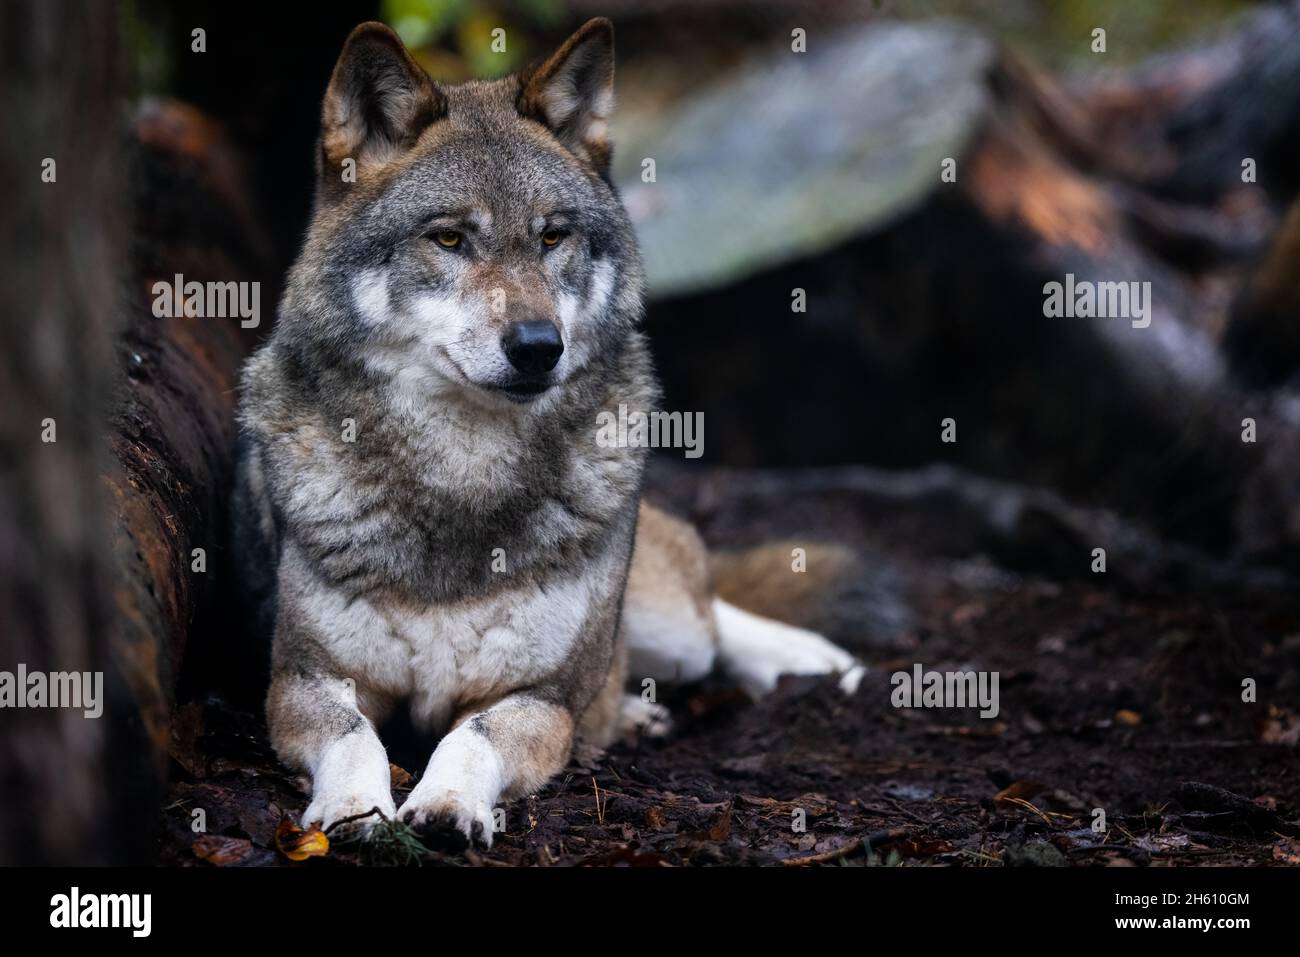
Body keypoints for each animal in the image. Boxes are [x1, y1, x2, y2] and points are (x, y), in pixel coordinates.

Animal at [232, 18, 864, 848]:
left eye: (554, 237)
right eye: (449, 240)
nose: (538, 346)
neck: (462, 478)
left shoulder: (543, 695)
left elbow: (473, 736)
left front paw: (447, 802)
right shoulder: (301, 679)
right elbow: (352, 736)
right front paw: (356, 807)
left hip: (667, 626)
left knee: (704, 609)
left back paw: (811, 662)